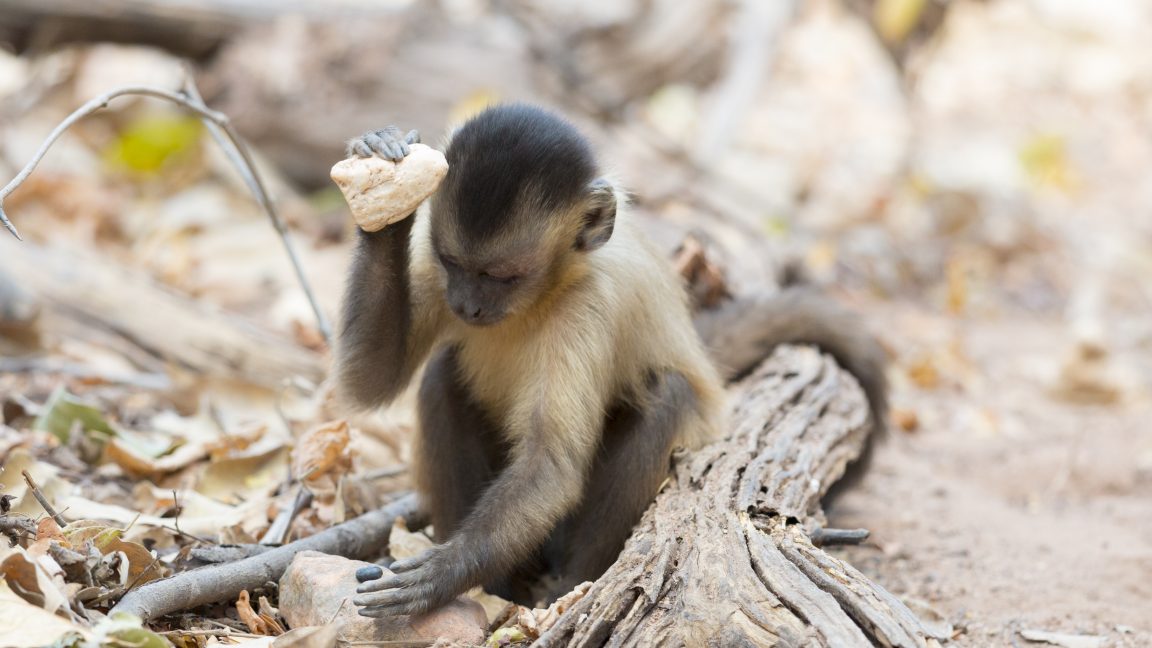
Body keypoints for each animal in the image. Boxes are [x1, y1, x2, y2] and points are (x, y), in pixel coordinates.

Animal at [334, 104, 887, 617]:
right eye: (454, 264)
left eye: (503, 277)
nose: (466, 306)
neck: (548, 290)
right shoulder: (434, 272)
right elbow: (370, 381)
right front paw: (384, 185)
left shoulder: (589, 306)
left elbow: (551, 466)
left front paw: (441, 575)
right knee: (442, 377)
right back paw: (500, 588)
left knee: (666, 393)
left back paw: (567, 584)